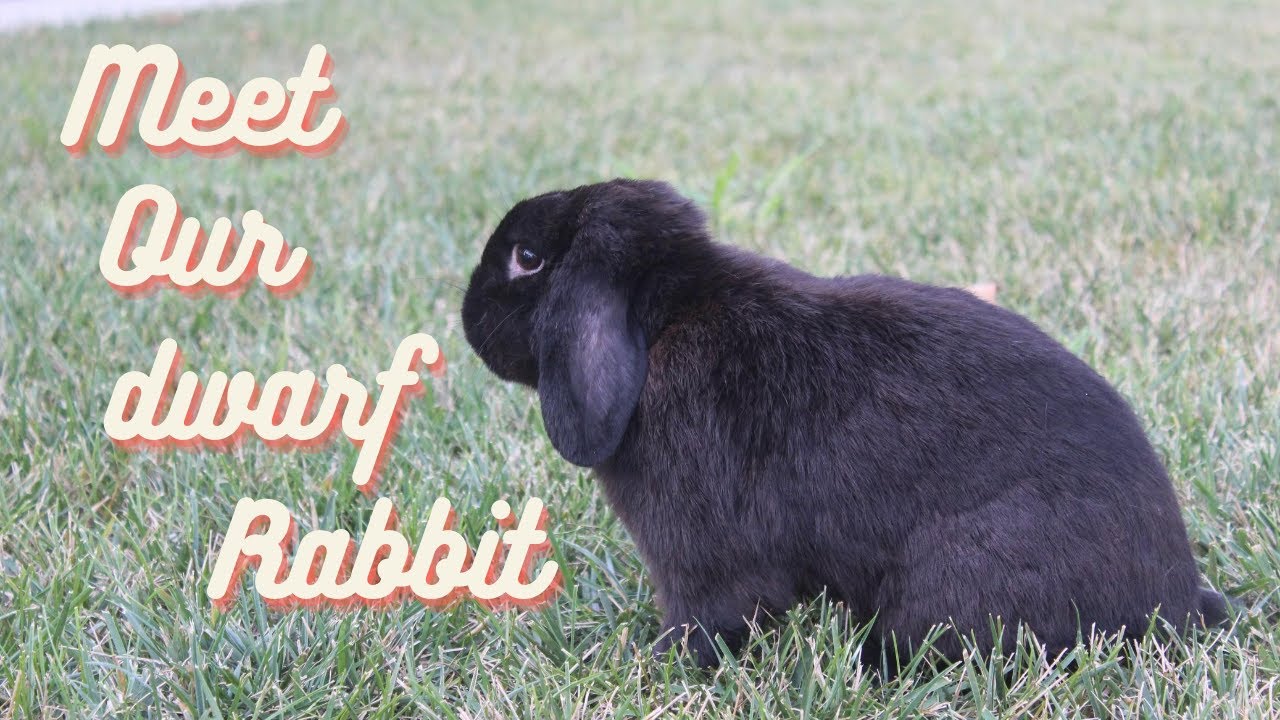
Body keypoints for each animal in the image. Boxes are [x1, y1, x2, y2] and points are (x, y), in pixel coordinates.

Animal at [460, 178, 1229, 669]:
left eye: (528, 258)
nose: (466, 316)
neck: (662, 325)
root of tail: (1170, 603)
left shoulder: (700, 558)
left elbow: (709, 616)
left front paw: (662, 662)